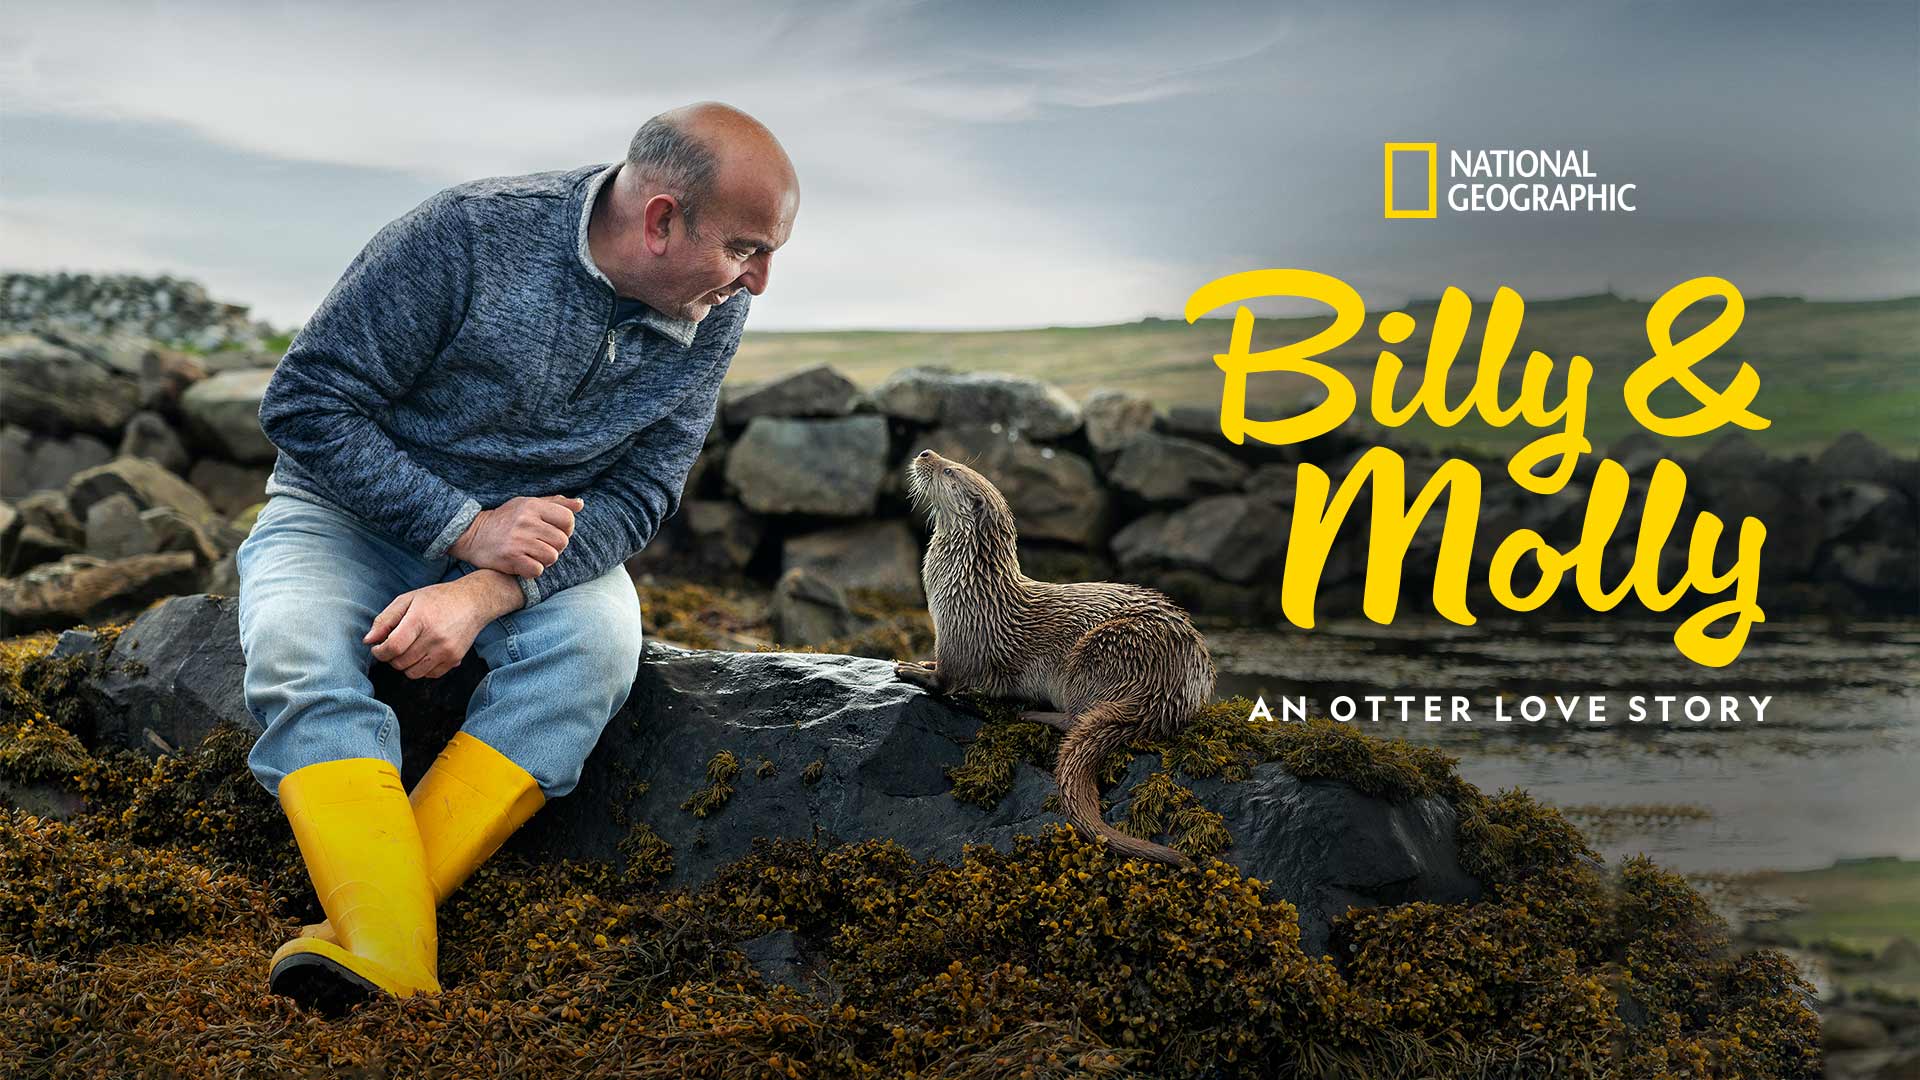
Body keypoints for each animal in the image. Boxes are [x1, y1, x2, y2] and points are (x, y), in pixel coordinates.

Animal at [895, 448, 1217, 868]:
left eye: (951, 470)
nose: (925, 453)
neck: (968, 584)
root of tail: (1175, 690)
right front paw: (922, 661)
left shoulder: (962, 633)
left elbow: (948, 679)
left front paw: (913, 670)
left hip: (1099, 653)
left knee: (1075, 717)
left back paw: (1033, 714)